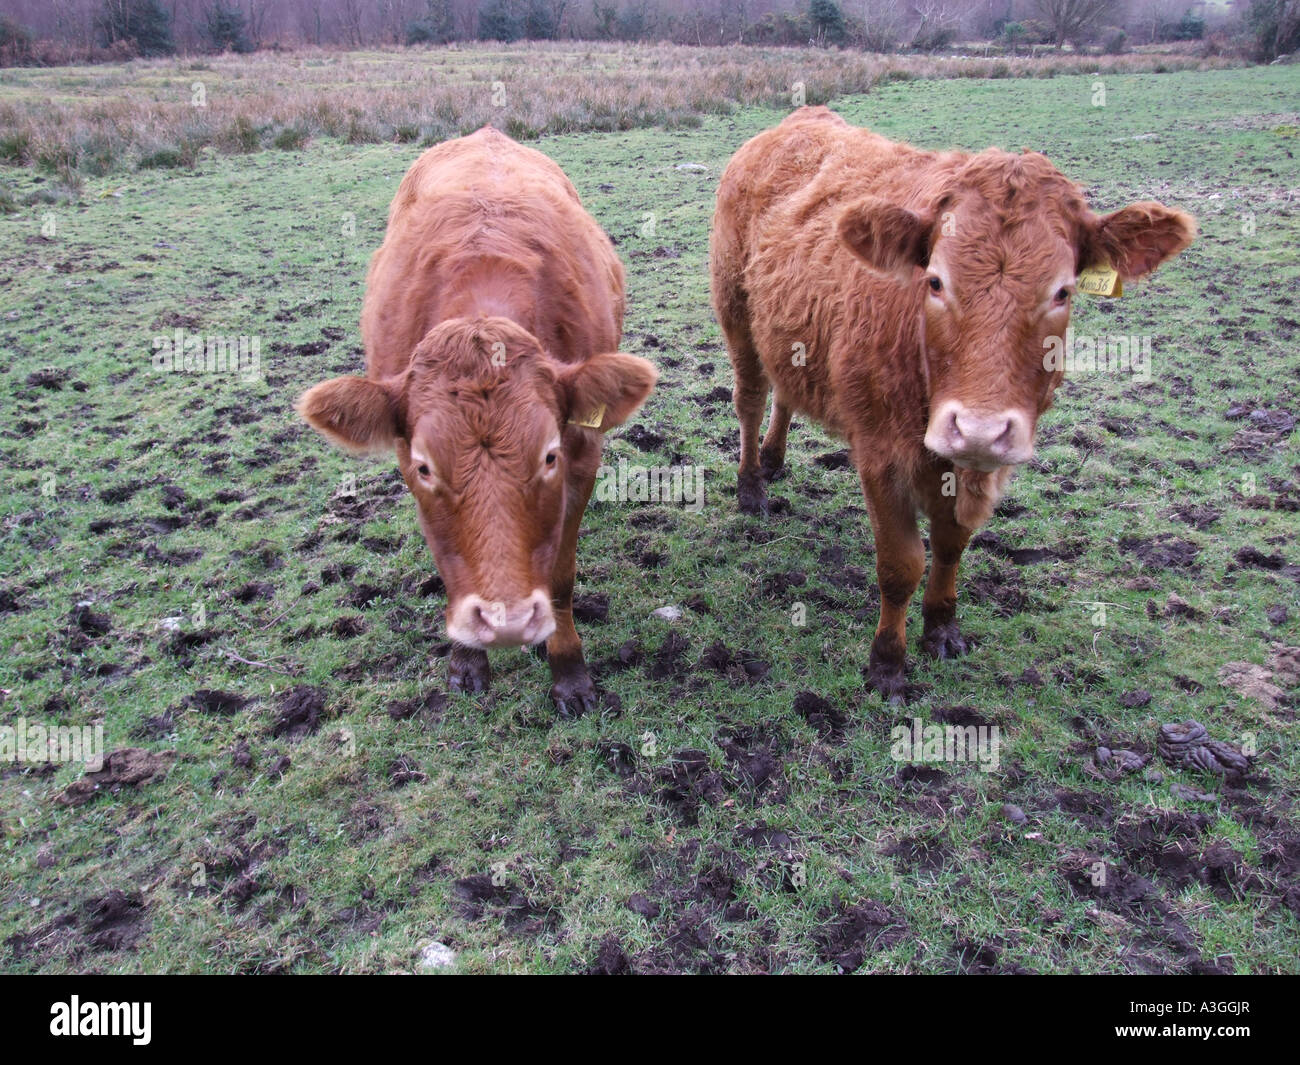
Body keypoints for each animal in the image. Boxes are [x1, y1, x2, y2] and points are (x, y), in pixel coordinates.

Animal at [297, 127, 656, 715]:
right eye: (426, 467)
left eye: (549, 455)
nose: (506, 622)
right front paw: (467, 659)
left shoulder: (584, 452)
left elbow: (561, 577)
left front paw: (569, 672)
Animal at [710, 106, 1194, 700]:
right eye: (936, 281)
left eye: (1063, 291)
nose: (981, 429)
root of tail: (802, 116)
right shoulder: (880, 452)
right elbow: (901, 564)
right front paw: (887, 662)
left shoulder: (979, 468)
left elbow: (951, 545)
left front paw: (941, 628)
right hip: (736, 313)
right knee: (752, 400)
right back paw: (752, 484)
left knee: (786, 390)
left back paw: (775, 460)